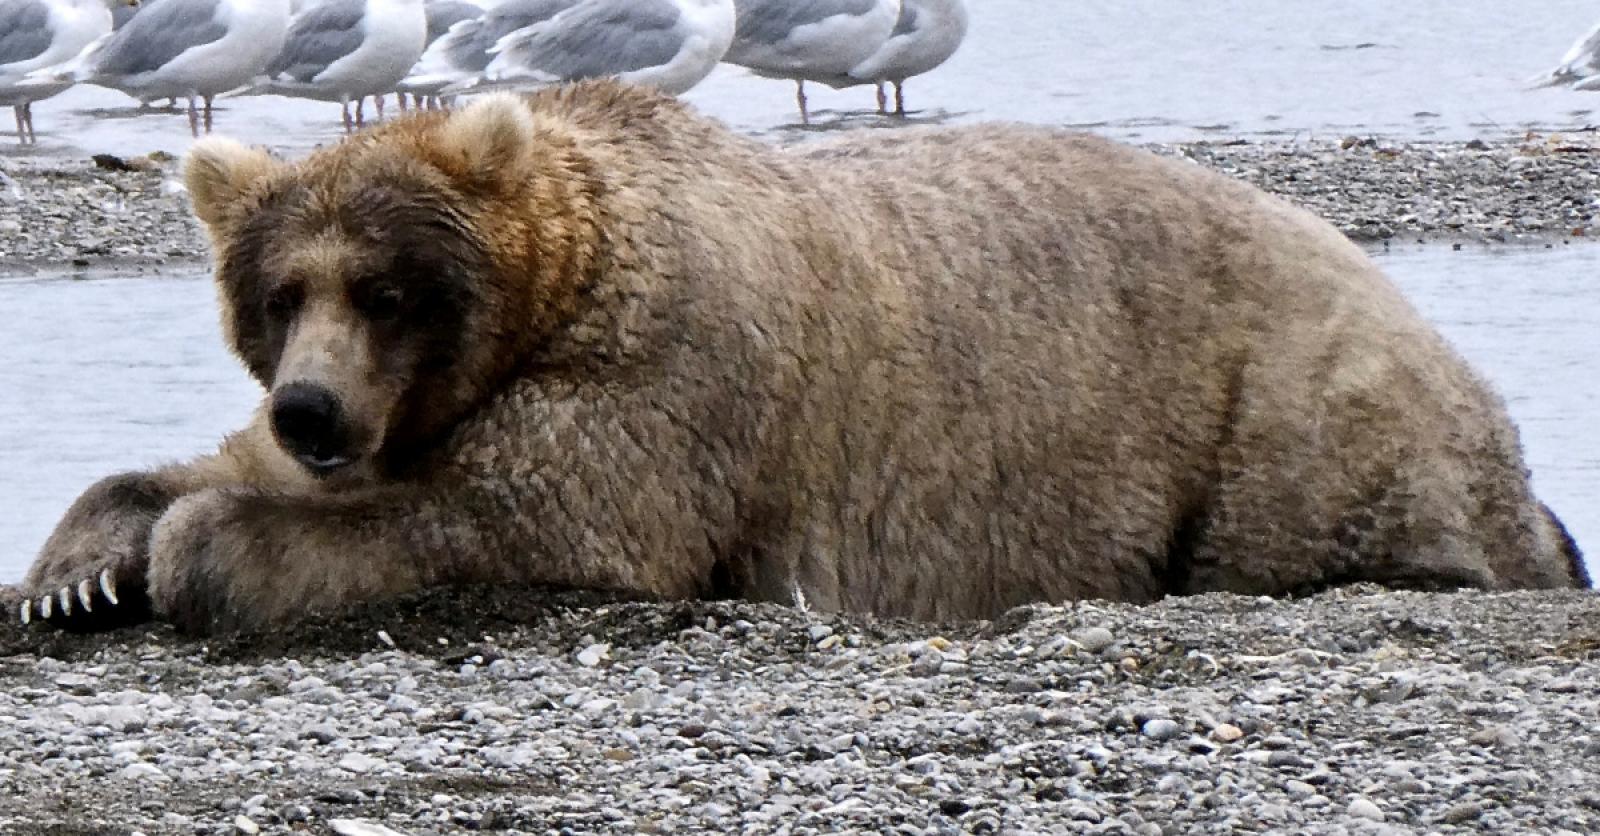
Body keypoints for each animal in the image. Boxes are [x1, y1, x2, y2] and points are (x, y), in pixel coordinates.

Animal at [15, 82, 1589, 635]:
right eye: (283, 290)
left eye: (392, 287)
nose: (315, 410)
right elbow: (188, 466)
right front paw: (80, 566)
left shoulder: (661, 380)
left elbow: (535, 519)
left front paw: (200, 546)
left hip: (1282, 400)